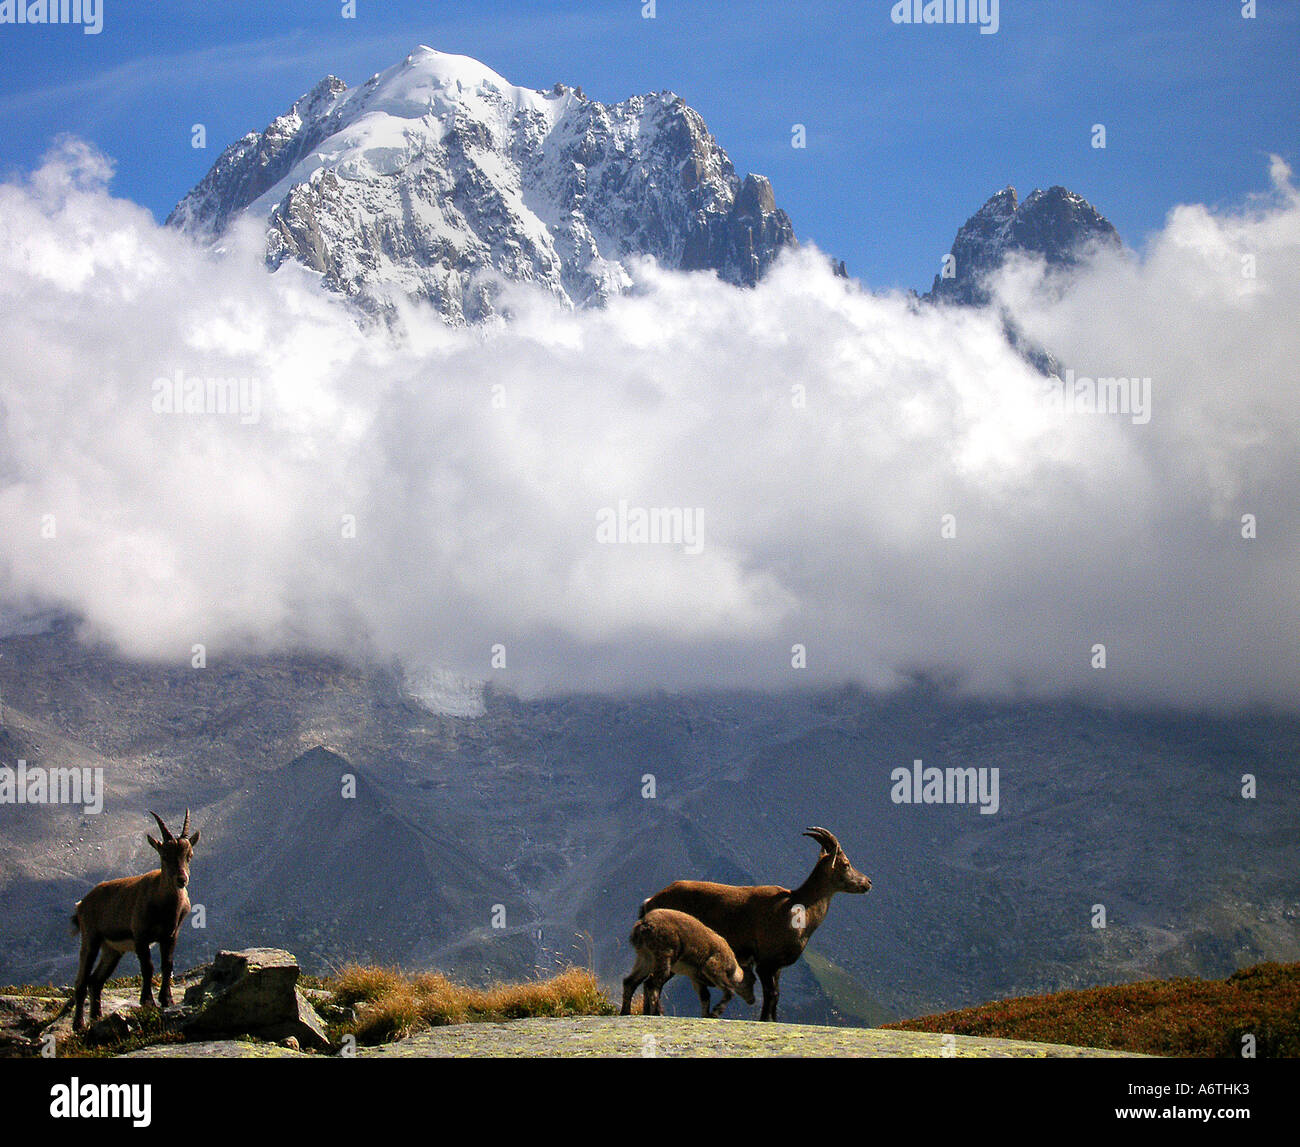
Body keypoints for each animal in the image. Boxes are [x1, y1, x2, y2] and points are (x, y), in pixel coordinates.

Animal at [70, 810, 199, 1032]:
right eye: (164, 856)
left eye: (188, 856)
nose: (181, 879)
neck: (164, 905)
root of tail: (82, 904)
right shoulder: (140, 936)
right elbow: (148, 967)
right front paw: (147, 1002)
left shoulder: (171, 934)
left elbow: (167, 964)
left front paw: (167, 999)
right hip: (91, 938)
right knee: (82, 980)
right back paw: (78, 1024)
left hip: (112, 950)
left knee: (96, 980)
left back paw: (96, 1016)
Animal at [620, 908, 756, 1018]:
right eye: (753, 980)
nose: (752, 1000)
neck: (732, 969)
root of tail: (643, 925)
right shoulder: (713, 967)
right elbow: (729, 991)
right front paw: (715, 1013)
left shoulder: (696, 978)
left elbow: (705, 997)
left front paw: (706, 1015)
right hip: (664, 954)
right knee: (651, 983)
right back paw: (658, 1013)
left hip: (646, 958)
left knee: (630, 982)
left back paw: (625, 1011)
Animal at [638, 826, 870, 1021]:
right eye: (846, 864)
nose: (868, 882)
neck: (798, 908)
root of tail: (650, 901)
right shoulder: (765, 962)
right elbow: (771, 994)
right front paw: (764, 1020)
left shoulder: (777, 966)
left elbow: (776, 995)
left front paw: (773, 1020)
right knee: (652, 982)